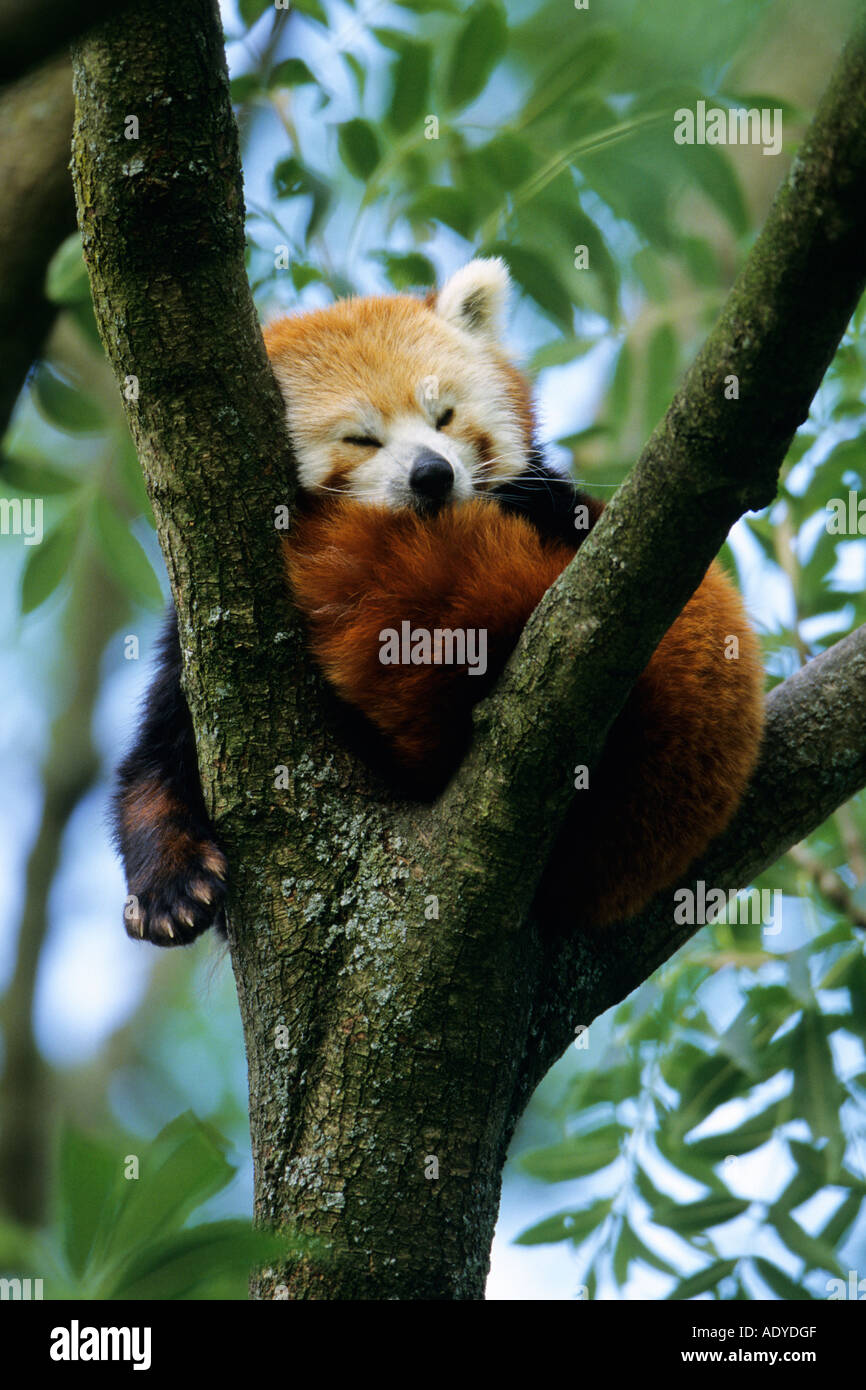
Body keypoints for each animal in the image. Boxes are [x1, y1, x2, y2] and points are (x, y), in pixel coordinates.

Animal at [114, 258, 764, 945]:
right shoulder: (200, 627)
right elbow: (157, 751)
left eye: (445, 416)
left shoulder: (549, 510)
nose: (432, 474)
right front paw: (169, 883)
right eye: (361, 439)